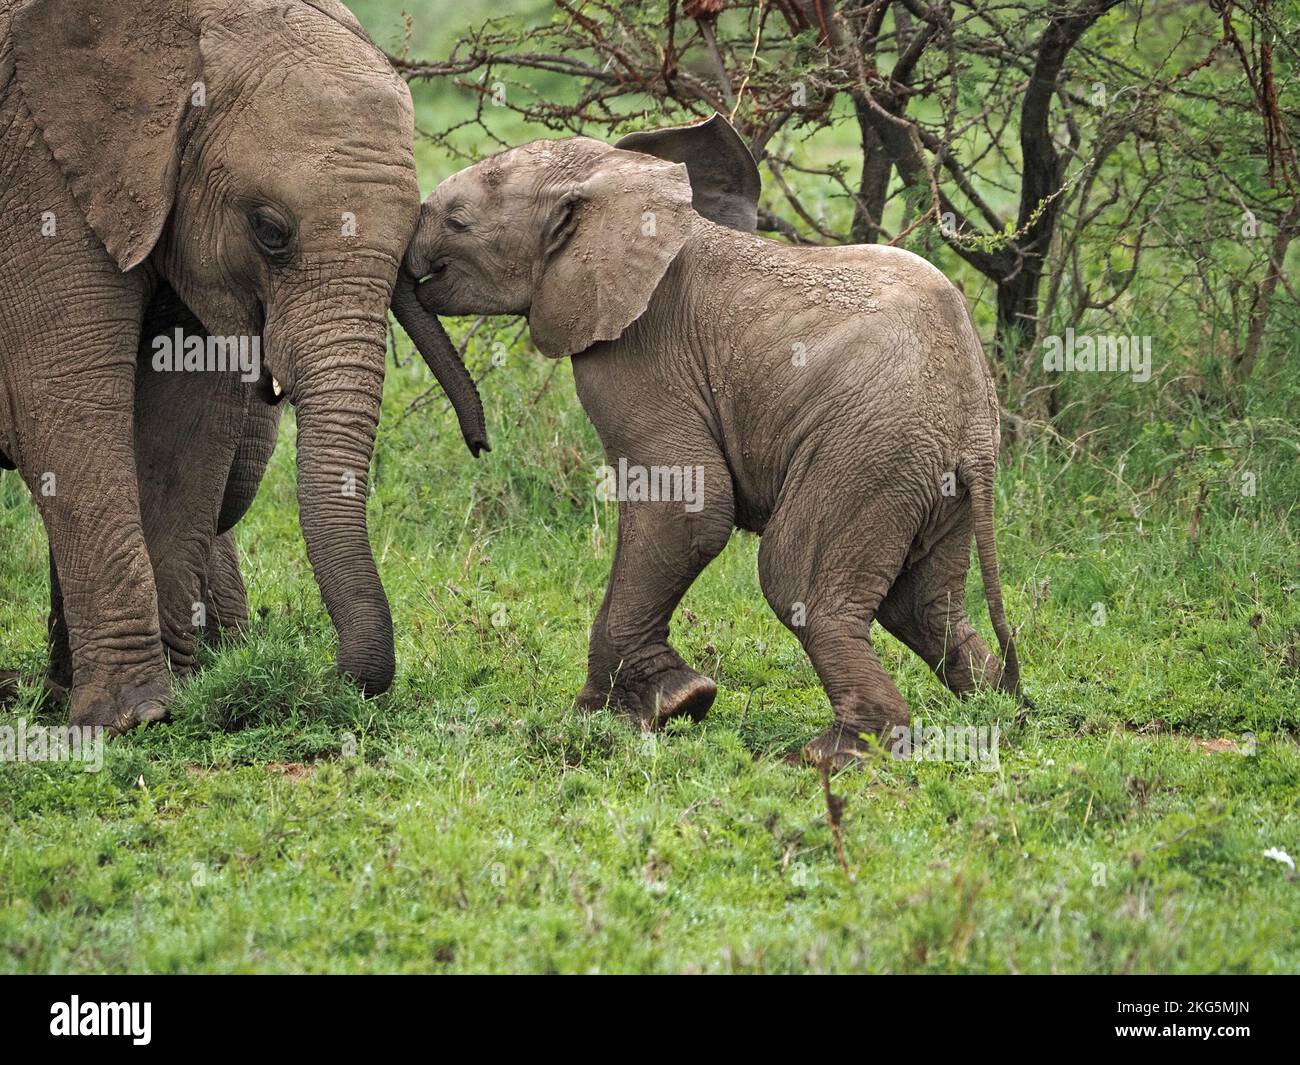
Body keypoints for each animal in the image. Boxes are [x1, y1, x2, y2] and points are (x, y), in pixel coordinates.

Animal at [0, 0, 486, 732]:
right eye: (270, 231)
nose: (335, 680)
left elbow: (183, 427)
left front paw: (171, 696)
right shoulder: (33, 174)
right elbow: (66, 404)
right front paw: (131, 716)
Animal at [401, 114, 1024, 766]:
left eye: (457, 222)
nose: (479, 445)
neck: (619, 182)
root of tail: (973, 425)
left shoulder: (637, 352)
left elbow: (686, 507)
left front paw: (649, 711)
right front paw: (643, 710)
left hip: (868, 450)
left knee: (797, 582)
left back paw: (832, 755)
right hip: (927, 475)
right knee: (923, 603)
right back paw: (996, 710)